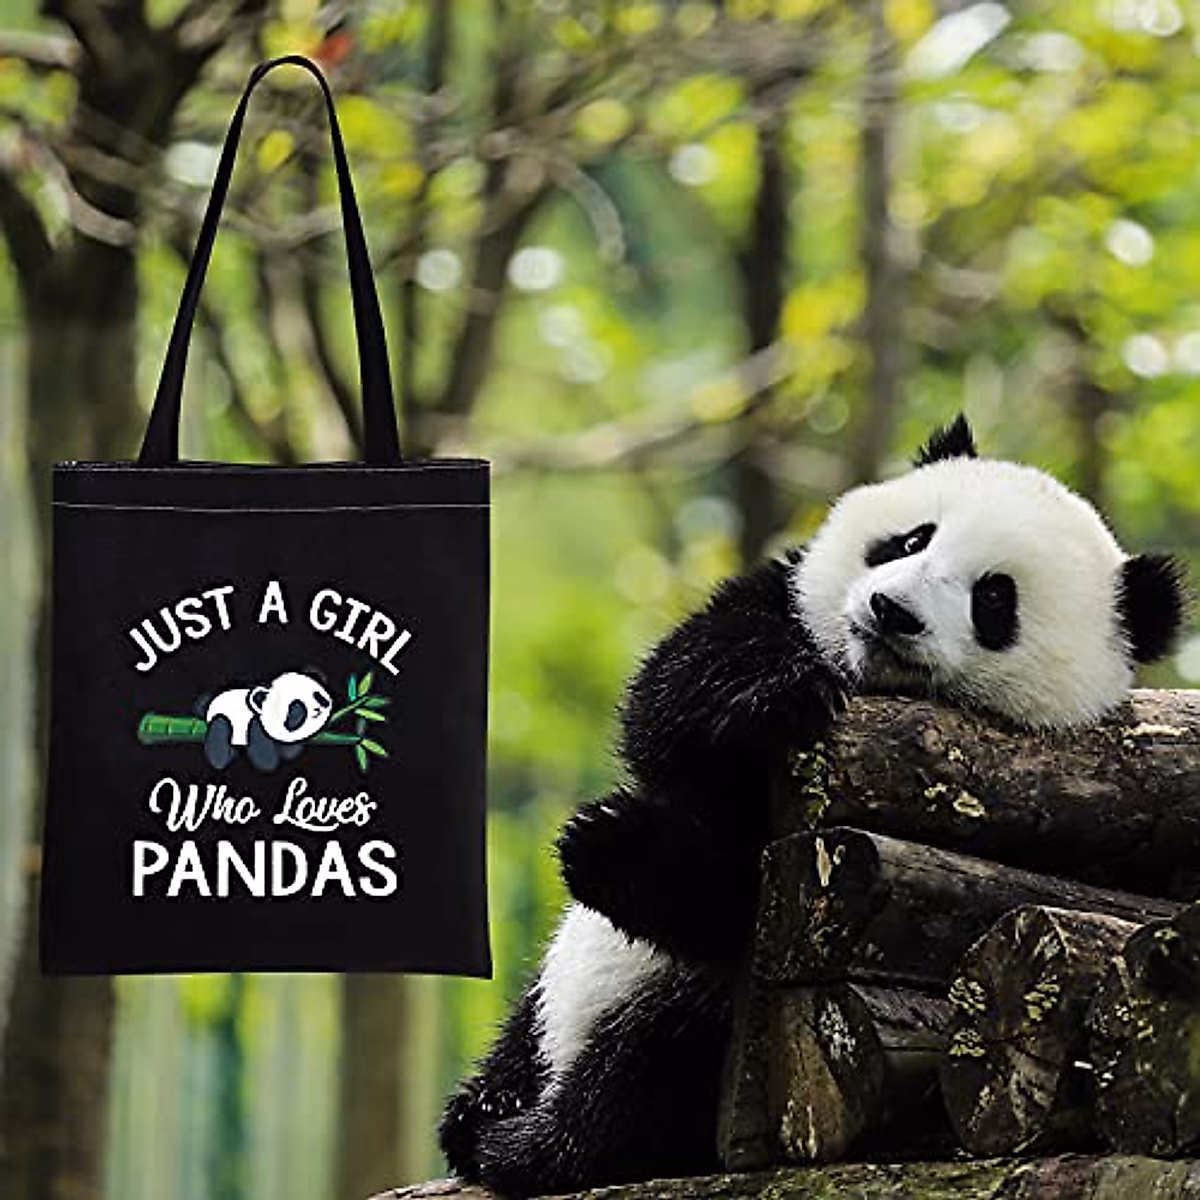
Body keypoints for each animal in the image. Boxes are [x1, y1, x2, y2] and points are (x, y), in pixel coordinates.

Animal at [202, 670, 332, 772]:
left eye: (318, 696)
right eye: (296, 707)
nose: (317, 709)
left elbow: (289, 753)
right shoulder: (258, 726)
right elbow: (265, 761)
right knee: (220, 726)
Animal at [439, 417, 1188, 1197]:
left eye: (993, 599)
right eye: (911, 540)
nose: (892, 612)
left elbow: (738, 894)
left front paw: (623, 851)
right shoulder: (786, 606)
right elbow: (675, 697)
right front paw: (769, 693)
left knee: (655, 1061)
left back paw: (533, 1143)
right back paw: (478, 1109)